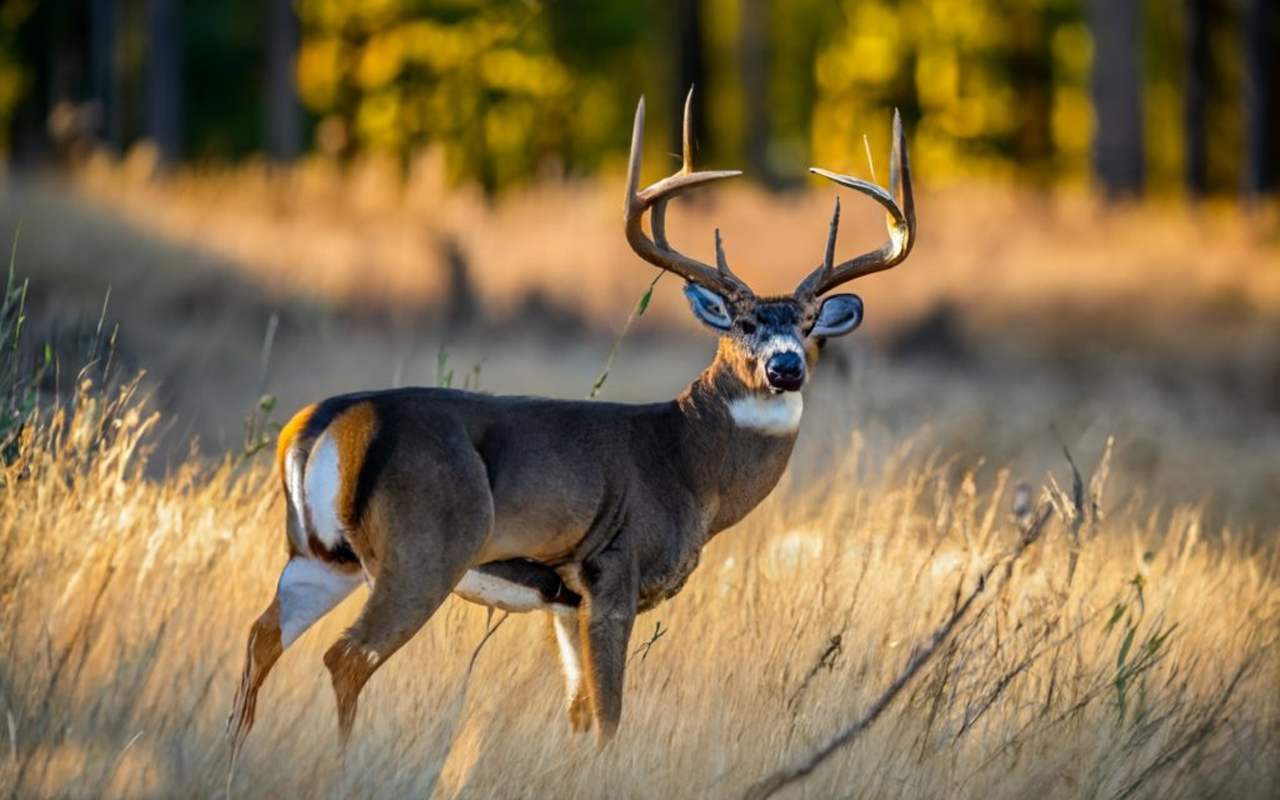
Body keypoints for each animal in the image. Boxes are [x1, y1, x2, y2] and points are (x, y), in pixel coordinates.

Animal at [226, 89, 916, 758]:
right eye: (742, 322)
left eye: (809, 325)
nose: (785, 367)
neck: (689, 465)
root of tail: (325, 420)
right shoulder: (613, 568)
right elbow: (609, 716)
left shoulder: (564, 601)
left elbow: (578, 712)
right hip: (423, 547)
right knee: (345, 657)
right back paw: (338, 764)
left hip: (320, 554)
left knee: (262, 636)